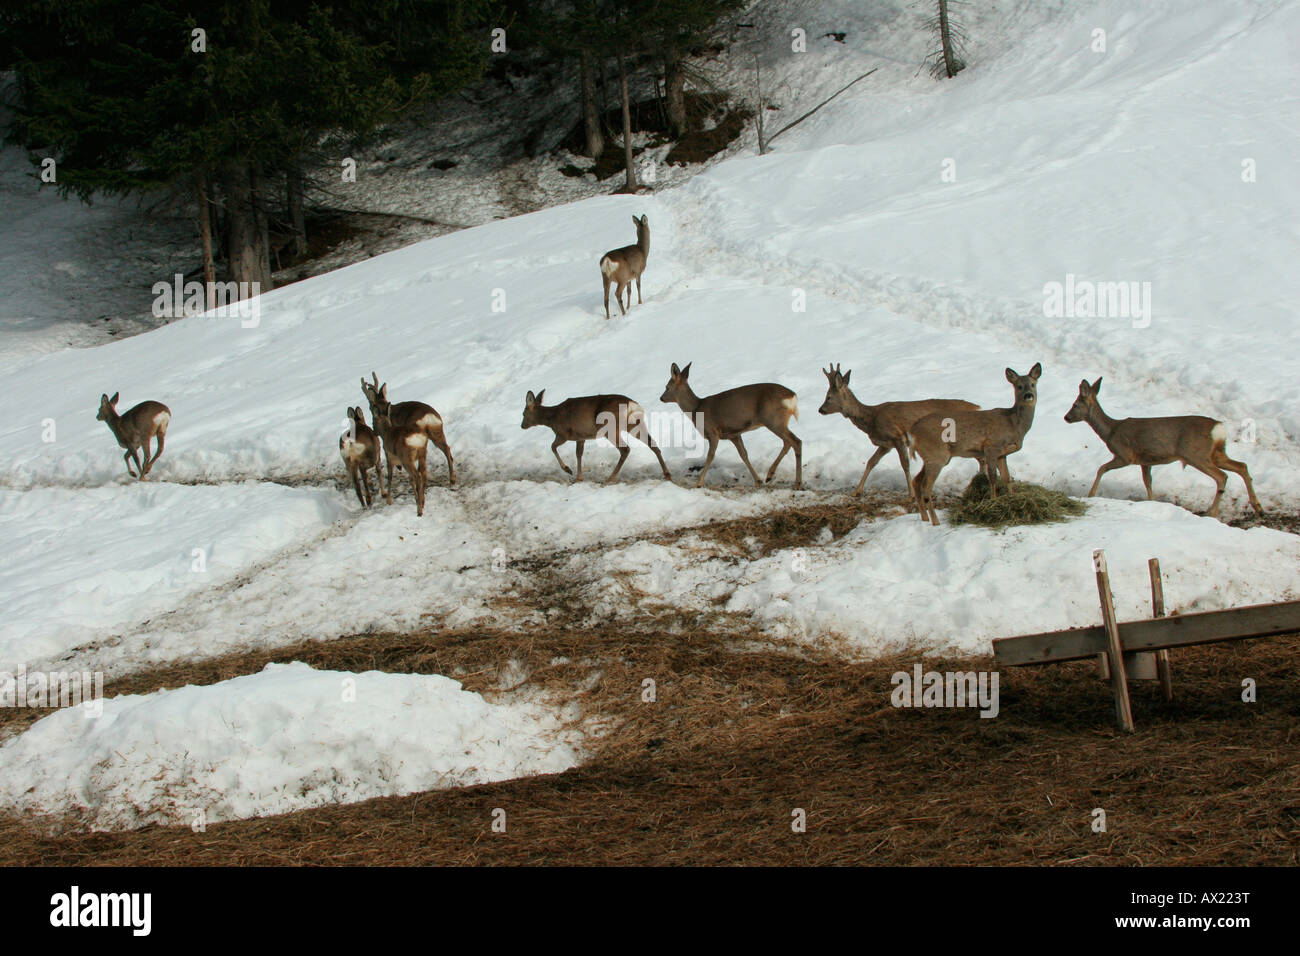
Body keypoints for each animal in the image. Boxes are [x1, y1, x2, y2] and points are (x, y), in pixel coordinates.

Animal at [522, 390, 672, 484]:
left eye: (523, 413)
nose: (522, 425)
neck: (552, 418)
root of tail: (632, 406)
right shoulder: (580, 436)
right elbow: (579, 454)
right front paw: (579, 478)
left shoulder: (563, 433)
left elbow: (552, 447)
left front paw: (568, 470)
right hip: (634, 424)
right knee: (652, 443)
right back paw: (667, 474)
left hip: (610, 428)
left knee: (625, 449)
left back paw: (610, 478)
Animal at [660, 362, 802, 490]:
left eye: (667, 387)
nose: (661, 398)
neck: (696, 409)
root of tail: (793, 396)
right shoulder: (734, 434)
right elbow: (744, 455)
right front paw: (758, 481)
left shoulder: (712, 431)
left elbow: (710, 456)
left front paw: (698, 483)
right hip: (778, 421)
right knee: (788, 442)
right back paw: (769, 476)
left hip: (773, 419)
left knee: (796, 441)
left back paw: (797, 483)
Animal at [817, 363, 979, 502]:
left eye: (828, 397)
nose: (820, 409)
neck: (871, 419)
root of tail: (977, 407)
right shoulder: (885, 444)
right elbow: (871, 462)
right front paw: (857, 491)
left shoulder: (897, 437)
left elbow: (905, 465)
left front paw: (911, 495)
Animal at [908, 363, 1043, 525]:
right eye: (1019, 386)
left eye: (1033, 384)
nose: (1029, 395)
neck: (1014, 424)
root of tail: (913, 431)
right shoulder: (991, 447)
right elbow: (993, 477)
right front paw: (993, 502)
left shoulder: (1002, 454)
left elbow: (1007, 478)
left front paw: (1013, 498)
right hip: (937, 455)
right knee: (926, 487)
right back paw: (936, 522)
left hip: (932, 457)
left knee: (916, 481)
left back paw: (925, 519)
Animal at [1064, 377, 1263, 518]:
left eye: (1075, 405)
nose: (1066, 417)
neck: (1111, 431)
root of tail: (1218, 428)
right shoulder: (1145, 461)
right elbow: (1148, 482)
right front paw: (1152, 502)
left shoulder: (1125, 455)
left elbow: (1101, 469)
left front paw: (1090, 495)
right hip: (1216, 453)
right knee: (1242, 466)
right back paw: (1258, 508)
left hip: (1194, 453)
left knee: (1222, 476)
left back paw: (1211, 513)